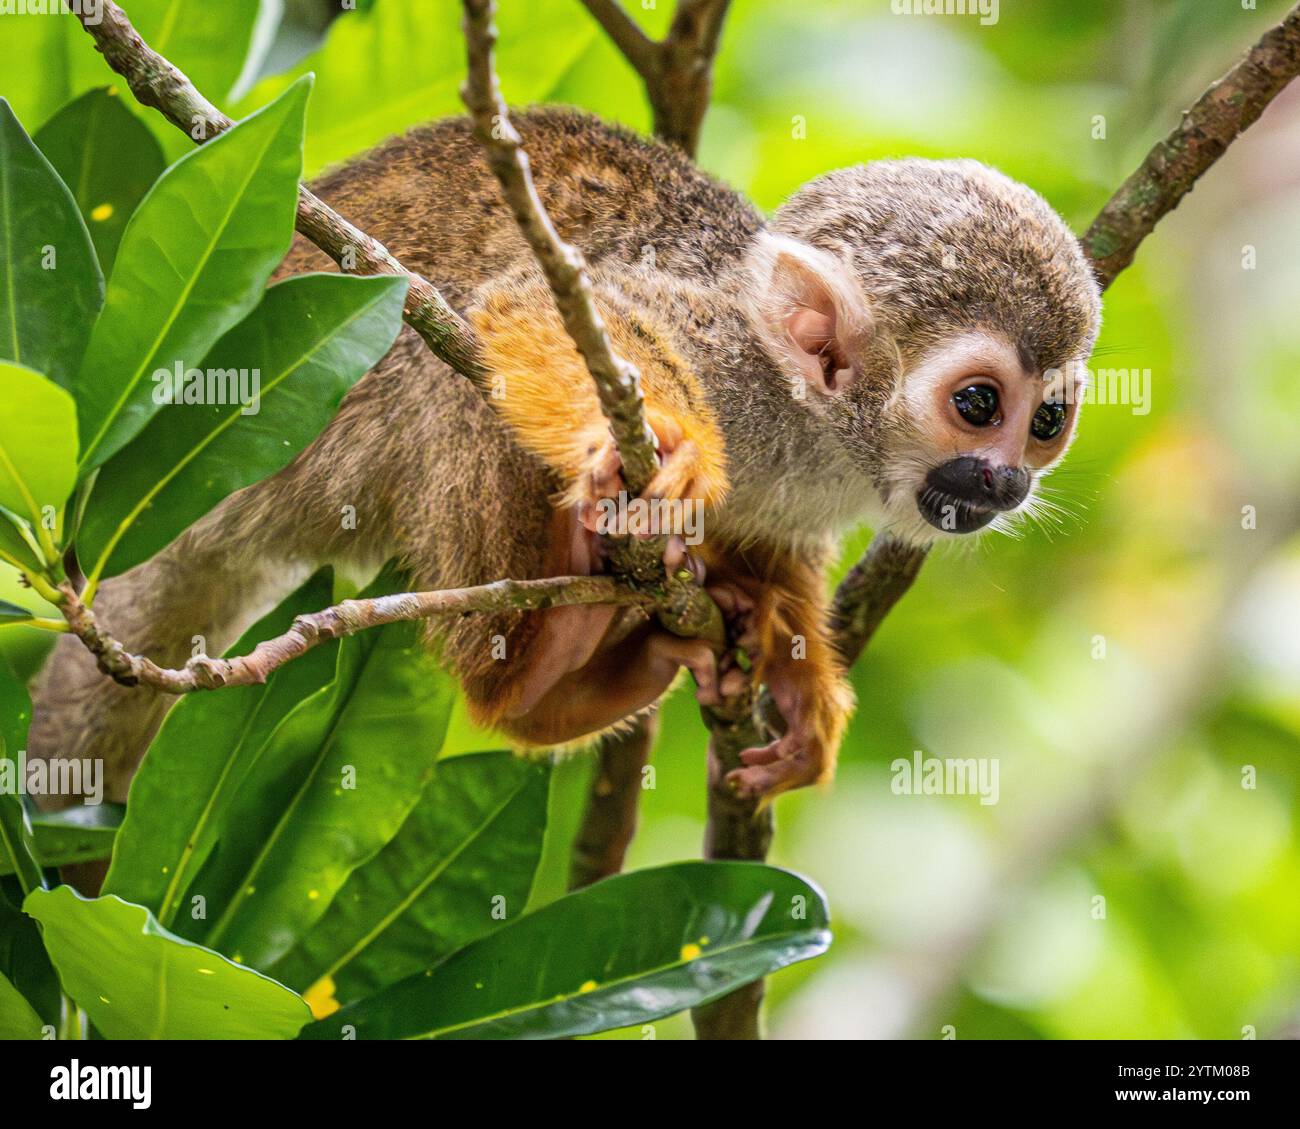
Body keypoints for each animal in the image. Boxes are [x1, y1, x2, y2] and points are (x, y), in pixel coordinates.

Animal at [26, 106, 1101, 813]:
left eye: (1047, 419)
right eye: (978, 405)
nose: (1008, 480)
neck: (815, 429)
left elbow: (776, 550)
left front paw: (795, 670)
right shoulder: (722, 353)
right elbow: (528, 304)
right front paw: (675, 451)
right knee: (448, 372)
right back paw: (537, 680)